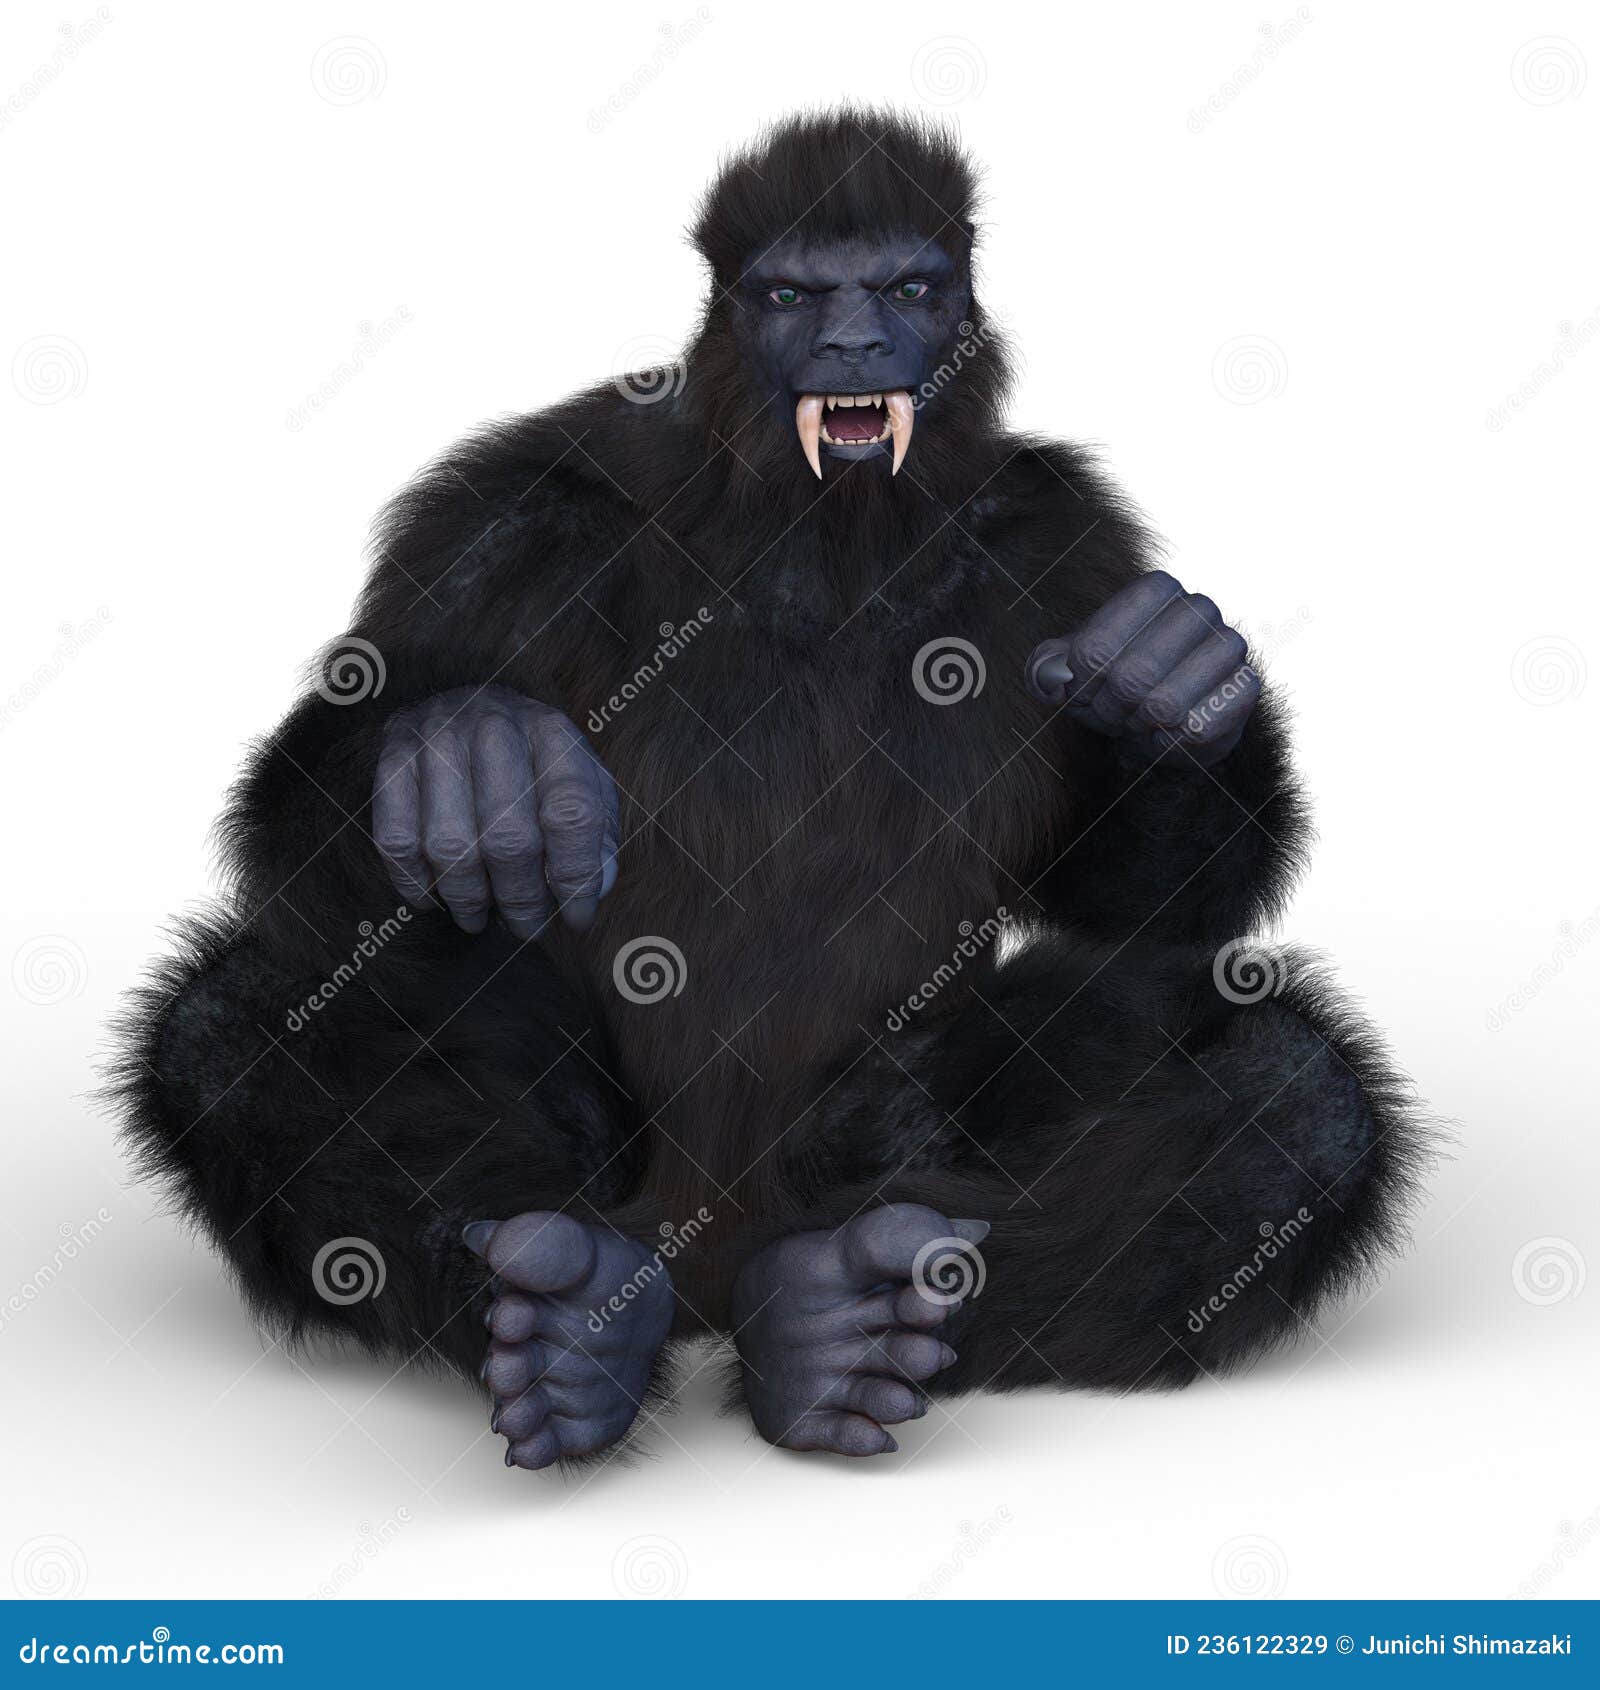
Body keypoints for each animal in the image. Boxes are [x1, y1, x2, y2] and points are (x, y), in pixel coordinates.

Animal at [113, 107, 1425, 1468]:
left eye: (906, 287)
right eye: (793, 293)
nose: (853, 340)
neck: (813, 530)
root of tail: (710, 1256)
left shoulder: (1067, 543)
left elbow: (1145, 899)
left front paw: (1174, 693)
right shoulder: (503, 522)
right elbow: (328, 792)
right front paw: (466, 757)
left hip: (857, 1142)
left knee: (1296, 1092)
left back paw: (829, 1321)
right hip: (620, 1170)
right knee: (238, 1022)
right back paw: (577, 1323)